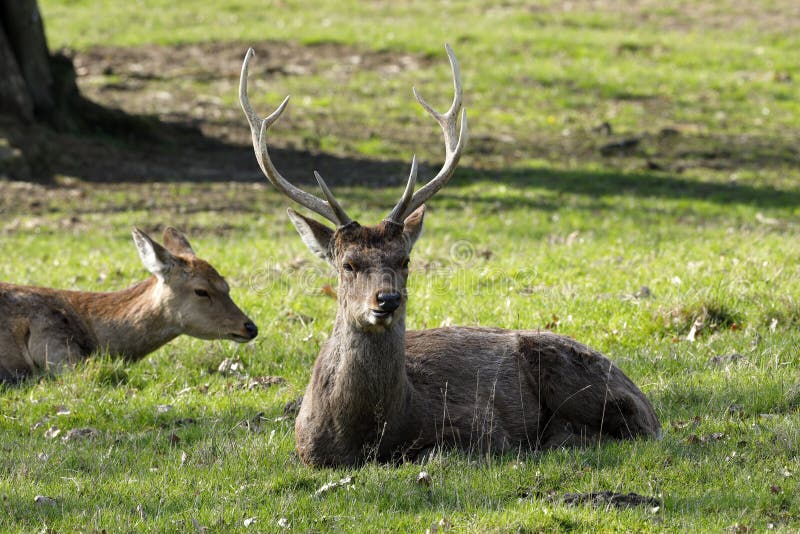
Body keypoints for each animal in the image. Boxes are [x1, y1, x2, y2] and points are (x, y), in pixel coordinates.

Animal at [240, 45, 661, 467]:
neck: (371, 435)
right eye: (347, 264)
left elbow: (433, 452)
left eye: (405, 260)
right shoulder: (306, 446)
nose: (387, 299)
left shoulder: (484, 427)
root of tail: (650, 405)